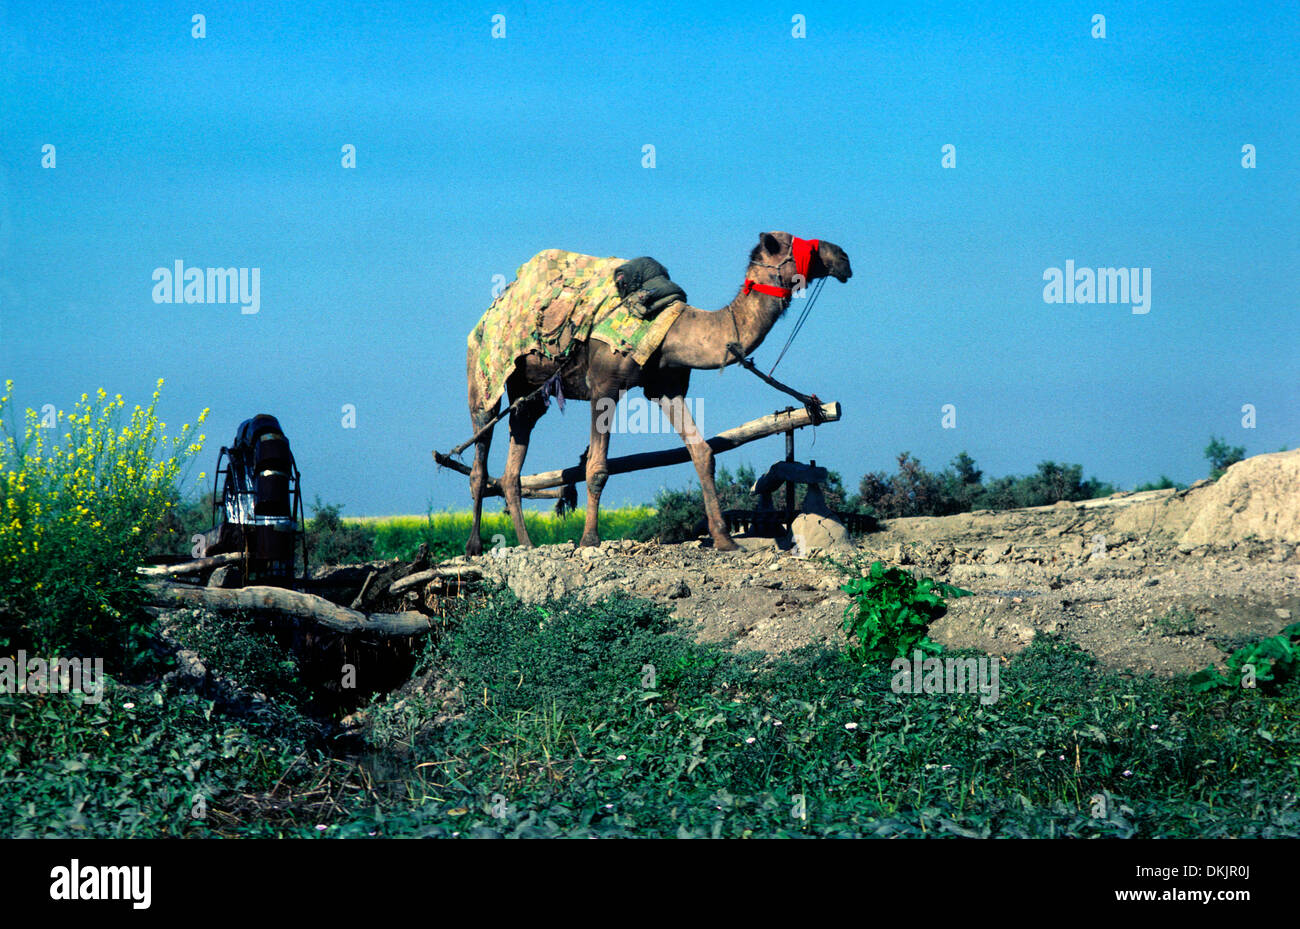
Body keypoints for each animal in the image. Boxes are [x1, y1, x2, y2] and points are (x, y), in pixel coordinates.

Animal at [464, 231, 852, 556]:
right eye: (804, 246)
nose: (844, 257)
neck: (674, 331)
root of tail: (489, 313)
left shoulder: (667, 387)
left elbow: (702, 452)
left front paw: (726, 541)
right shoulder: (604, 387)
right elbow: (597, 467)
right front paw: (590, 539)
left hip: (528, 390)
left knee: (514, 458)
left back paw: (526, 543)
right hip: (482, 377)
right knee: (480, 457)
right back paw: (474, 546)